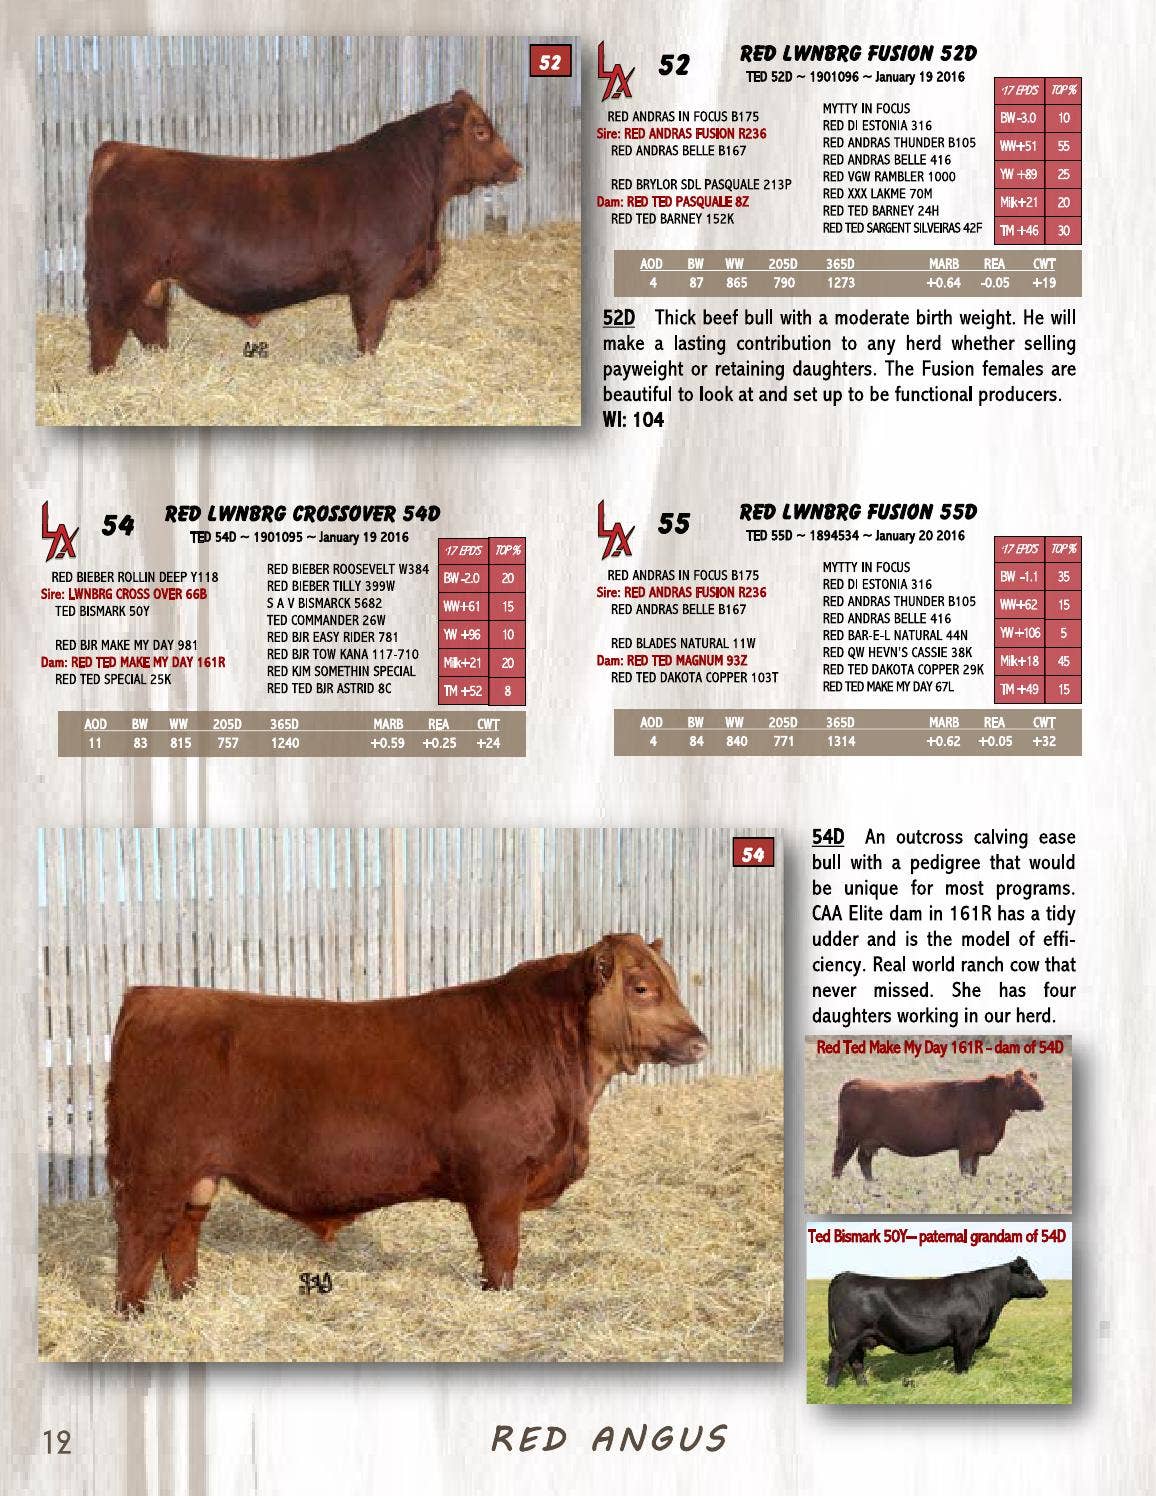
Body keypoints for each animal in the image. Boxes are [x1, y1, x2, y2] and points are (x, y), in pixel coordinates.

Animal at [83, 88, 521, 372]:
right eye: (481, 131)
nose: (517, 166)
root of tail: (122, 150)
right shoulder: (376, 279)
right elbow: (370, 330)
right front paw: (367, 368)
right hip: (120, 273)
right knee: (105, 323)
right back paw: (105, 375)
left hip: (151, 280)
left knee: (147, 320)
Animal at [105, 934, 708, 1313]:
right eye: (641, 987)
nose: (699, 1041)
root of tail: (148, 996)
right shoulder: (498, 1179)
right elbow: (502, 1252)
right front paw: (499, 1298)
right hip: (155, 1168)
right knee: (138, 1239)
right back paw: (134, 1315)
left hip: (196, 1175)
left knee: (181, 1234)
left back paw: (187, 1300)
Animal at [826, 1257, 1048, 1385]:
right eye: (1027, 1273)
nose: (1044, 1289)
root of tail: (846, 1275)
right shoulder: (967, 1336)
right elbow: (964, 1363)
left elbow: (959, 1363)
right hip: (848, 1336)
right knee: (837, 1358)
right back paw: (832, 1387)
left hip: (859, 1338)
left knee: (856, 1361)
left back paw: (863, 1386)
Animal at [831, 1067, 1045, 1180]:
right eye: (1023, 1086)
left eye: (1035, 1083)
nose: (1043, 1102)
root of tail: (855, 1081)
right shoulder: (967, 1146)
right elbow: (965, 1171)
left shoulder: (977, 1149)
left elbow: (973, 1172)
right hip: (849, 1138)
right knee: (840, 1160)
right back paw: (838, 1184)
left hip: (868, 1142)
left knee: (864, 1161)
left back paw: (872, 1183)